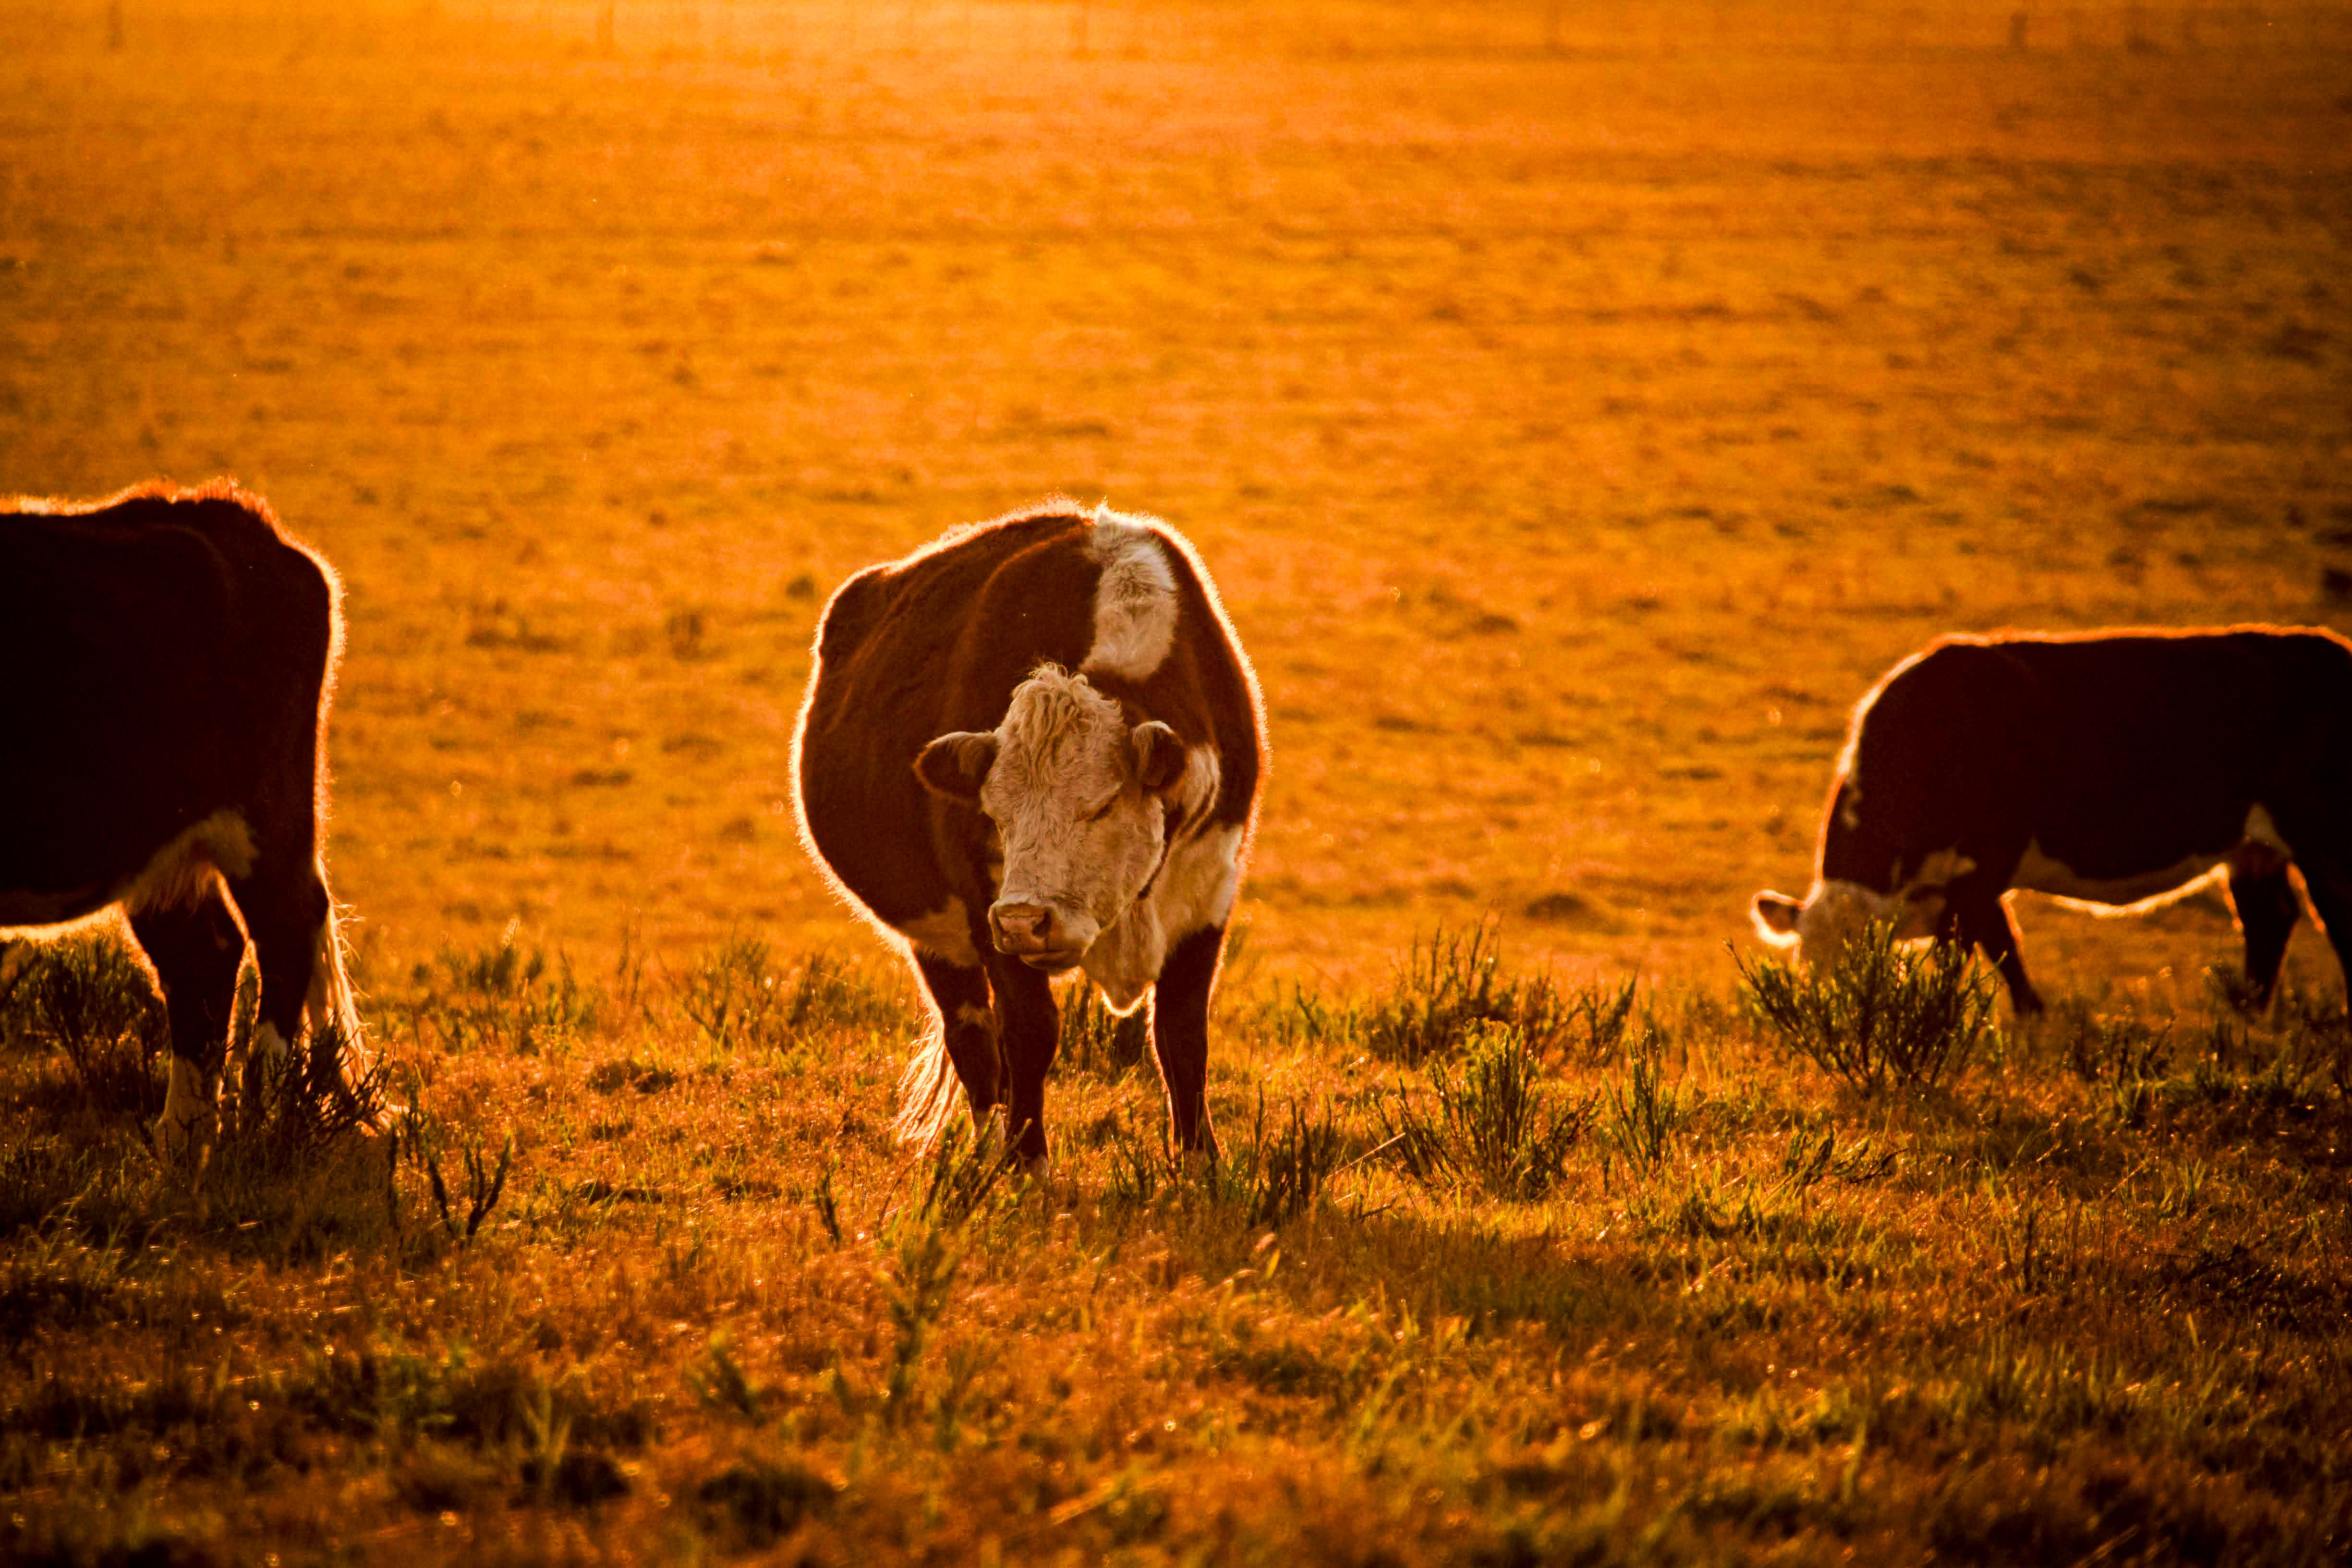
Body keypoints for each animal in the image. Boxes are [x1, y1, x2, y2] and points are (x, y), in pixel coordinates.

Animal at [2, 481, 369, 1159]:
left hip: (261, 820)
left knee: (282, 931)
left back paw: (256, 1128)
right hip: (157, 842)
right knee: (204, 957)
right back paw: (182, 1145)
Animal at [793, 500, 1265, 1175]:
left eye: (1103, 803)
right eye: (996, 811)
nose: (1026, 921)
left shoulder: (1207, 893)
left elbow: (1181, 1036)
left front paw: (1202, 1164)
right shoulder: (985, 904)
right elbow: (1029, 1031)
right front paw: (1026, 1164)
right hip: (938, 938)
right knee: (974, 1040)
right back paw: (989, 1147)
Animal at [1751, 627, 2352, 1015]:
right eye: (1805, 969)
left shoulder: (1983, 865)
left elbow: (1966, 958)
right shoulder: (1971, 883)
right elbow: (2005, 951)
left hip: (2321, 835)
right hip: (2252, 847)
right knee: (2268, 918)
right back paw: (2247, 1021)